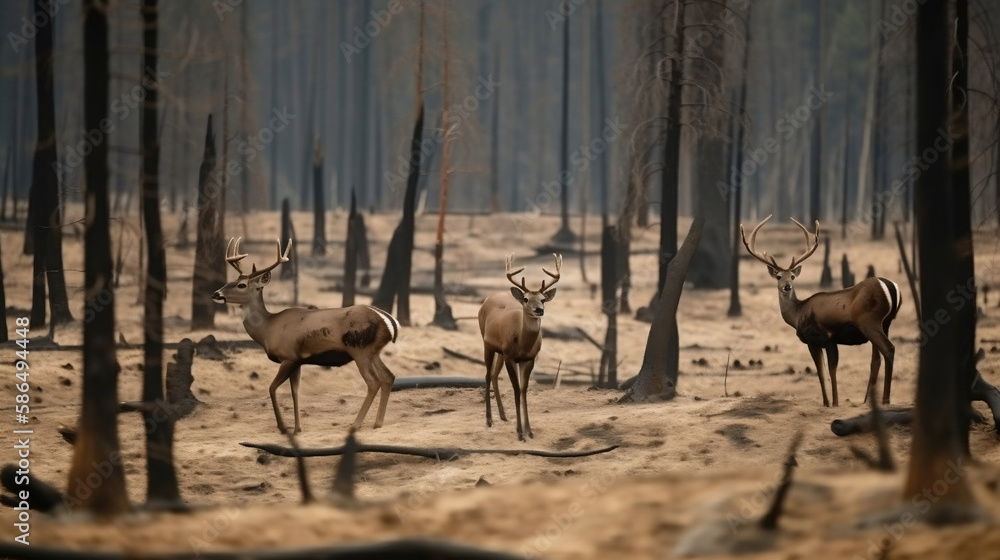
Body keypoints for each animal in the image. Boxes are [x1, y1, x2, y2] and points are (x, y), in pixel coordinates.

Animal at [212, 237, 399, 434]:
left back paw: (355, 425)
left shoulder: (288, 357)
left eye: (241, 285)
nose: (216, 293)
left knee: (373, 382)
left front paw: (283, 427)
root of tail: (388, 321)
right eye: (234, 280)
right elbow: (295, 392)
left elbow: (272, 388)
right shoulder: (298, 361)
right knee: (388, 377)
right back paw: (377, 423)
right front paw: (297, 428)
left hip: (359, 349)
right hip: (373, 351)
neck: (268, 329)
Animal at [478, 253, 561, 441]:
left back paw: (503, 416)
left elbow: (524, 390)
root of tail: (487, 298)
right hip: (487, 343)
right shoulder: (511, 357)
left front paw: (529, 430)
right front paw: (519, 433)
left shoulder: (529, 358)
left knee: (494, 374)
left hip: (500, 351)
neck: (523, 344)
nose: (539, 310)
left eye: (543, 299)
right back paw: (488, 419)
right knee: (487, 375)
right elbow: (516, 390)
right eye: (526, 299)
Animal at [740, 215, 901, 407]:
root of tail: (891, 286)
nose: (787, 286)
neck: (797, 314)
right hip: (886, 323)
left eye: (792, 276)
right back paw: (868, 400)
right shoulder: (826, 341)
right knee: (876, 358)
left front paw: (833, 403)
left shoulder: (821, 338)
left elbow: (826, 372)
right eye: (779, 276)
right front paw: (829, 402)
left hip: (870, 321)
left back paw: (886, 399)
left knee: (889, 349)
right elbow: (825, 372)